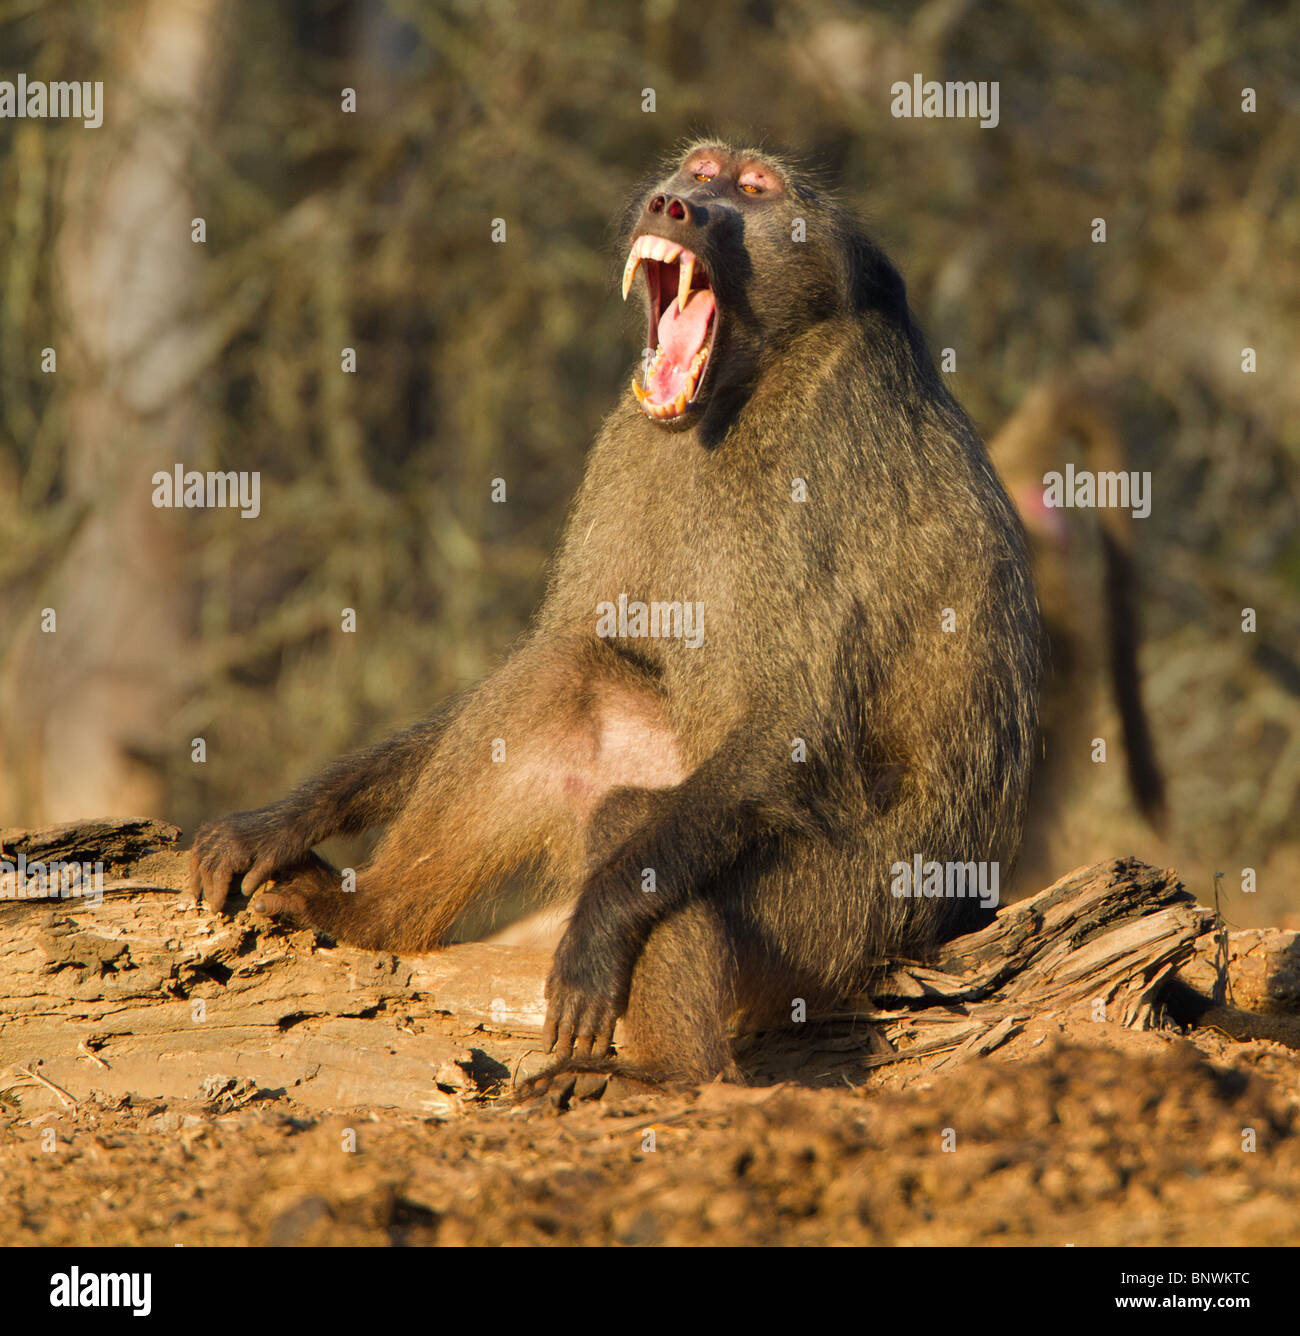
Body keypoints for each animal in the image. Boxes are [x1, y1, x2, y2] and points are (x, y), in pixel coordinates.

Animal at [191, 140, 1042, 1100]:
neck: (750, 384)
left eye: (754, 190)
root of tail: (956, 909)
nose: (675, 205)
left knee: (633, 824)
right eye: (701, 169)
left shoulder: (831, 434)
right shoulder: (629, 440)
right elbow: (565, 643)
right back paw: (371, 915)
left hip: (842, 914)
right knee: (568, 675)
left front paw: (594, 941)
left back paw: (674, 1075)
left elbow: (789, 726)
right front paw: (282, 820)